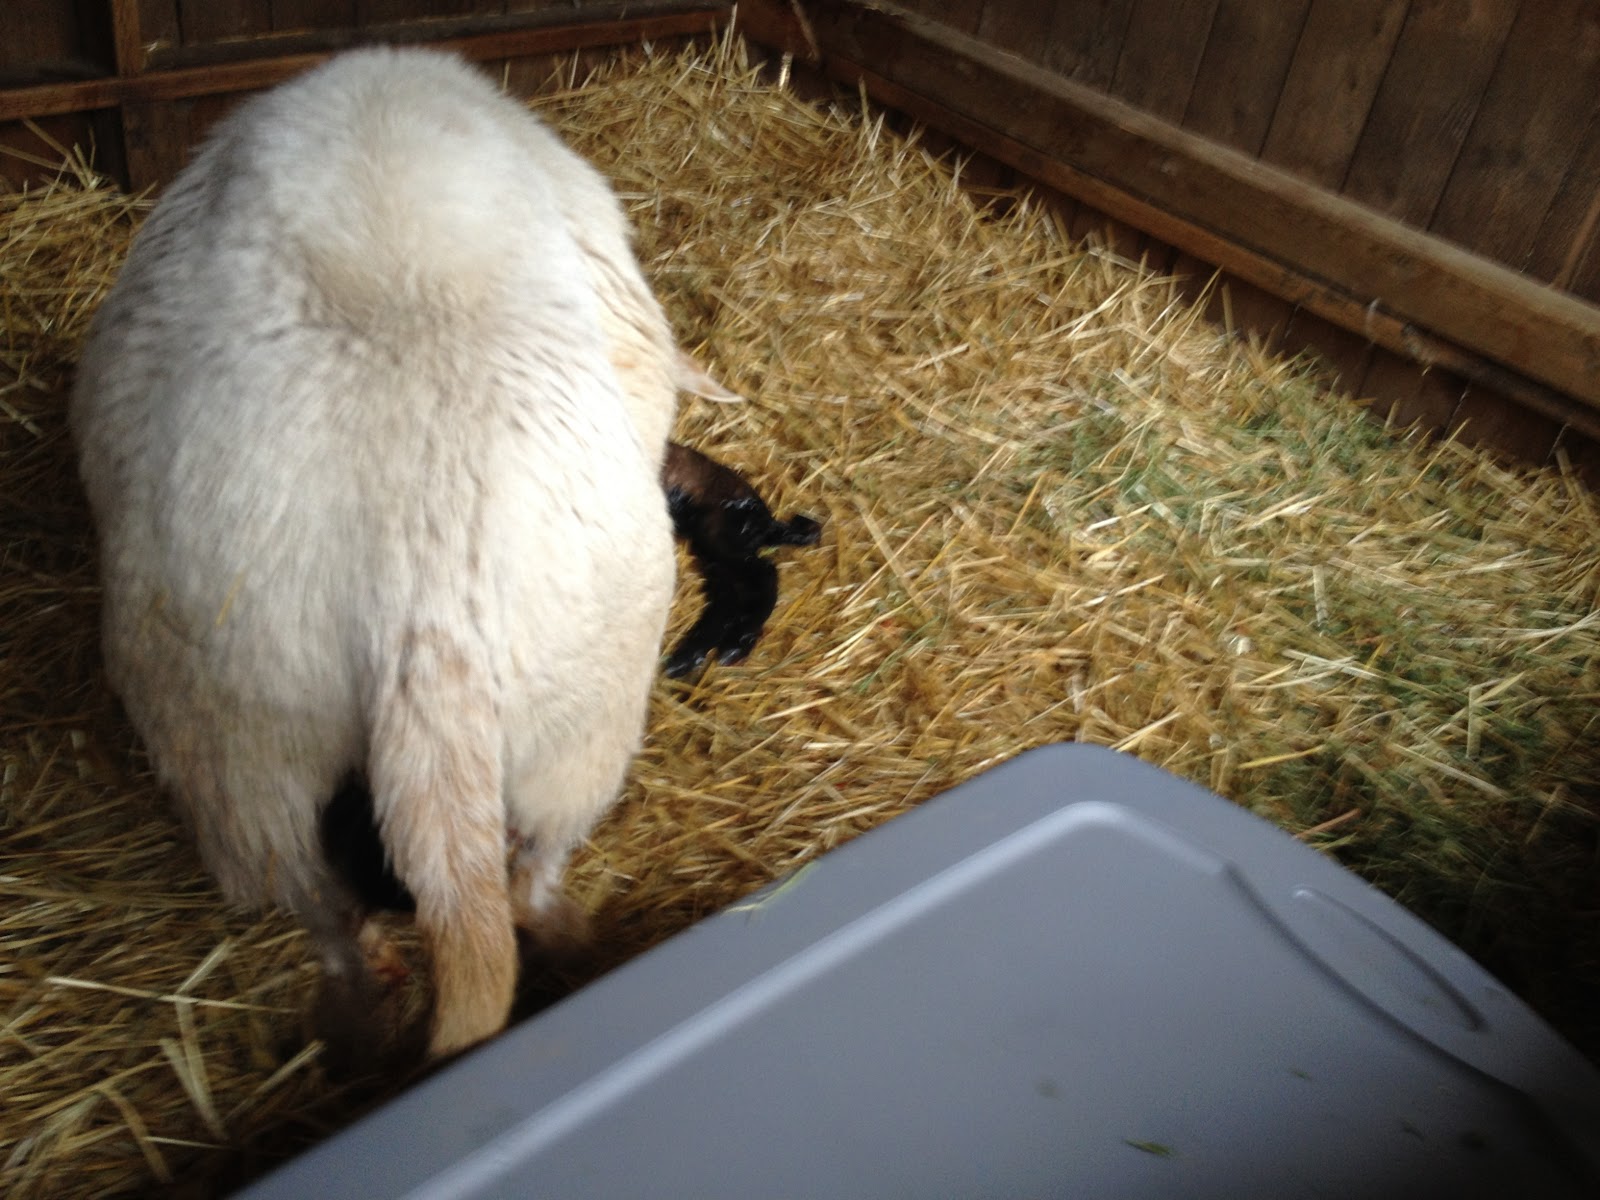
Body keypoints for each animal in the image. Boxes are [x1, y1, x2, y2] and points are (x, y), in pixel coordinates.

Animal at [70, 45, 685, 1061]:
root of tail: (418, 595)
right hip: (573, 726)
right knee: (522, 875)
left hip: (248, 751)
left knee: (324, 904)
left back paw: (359, 1008)